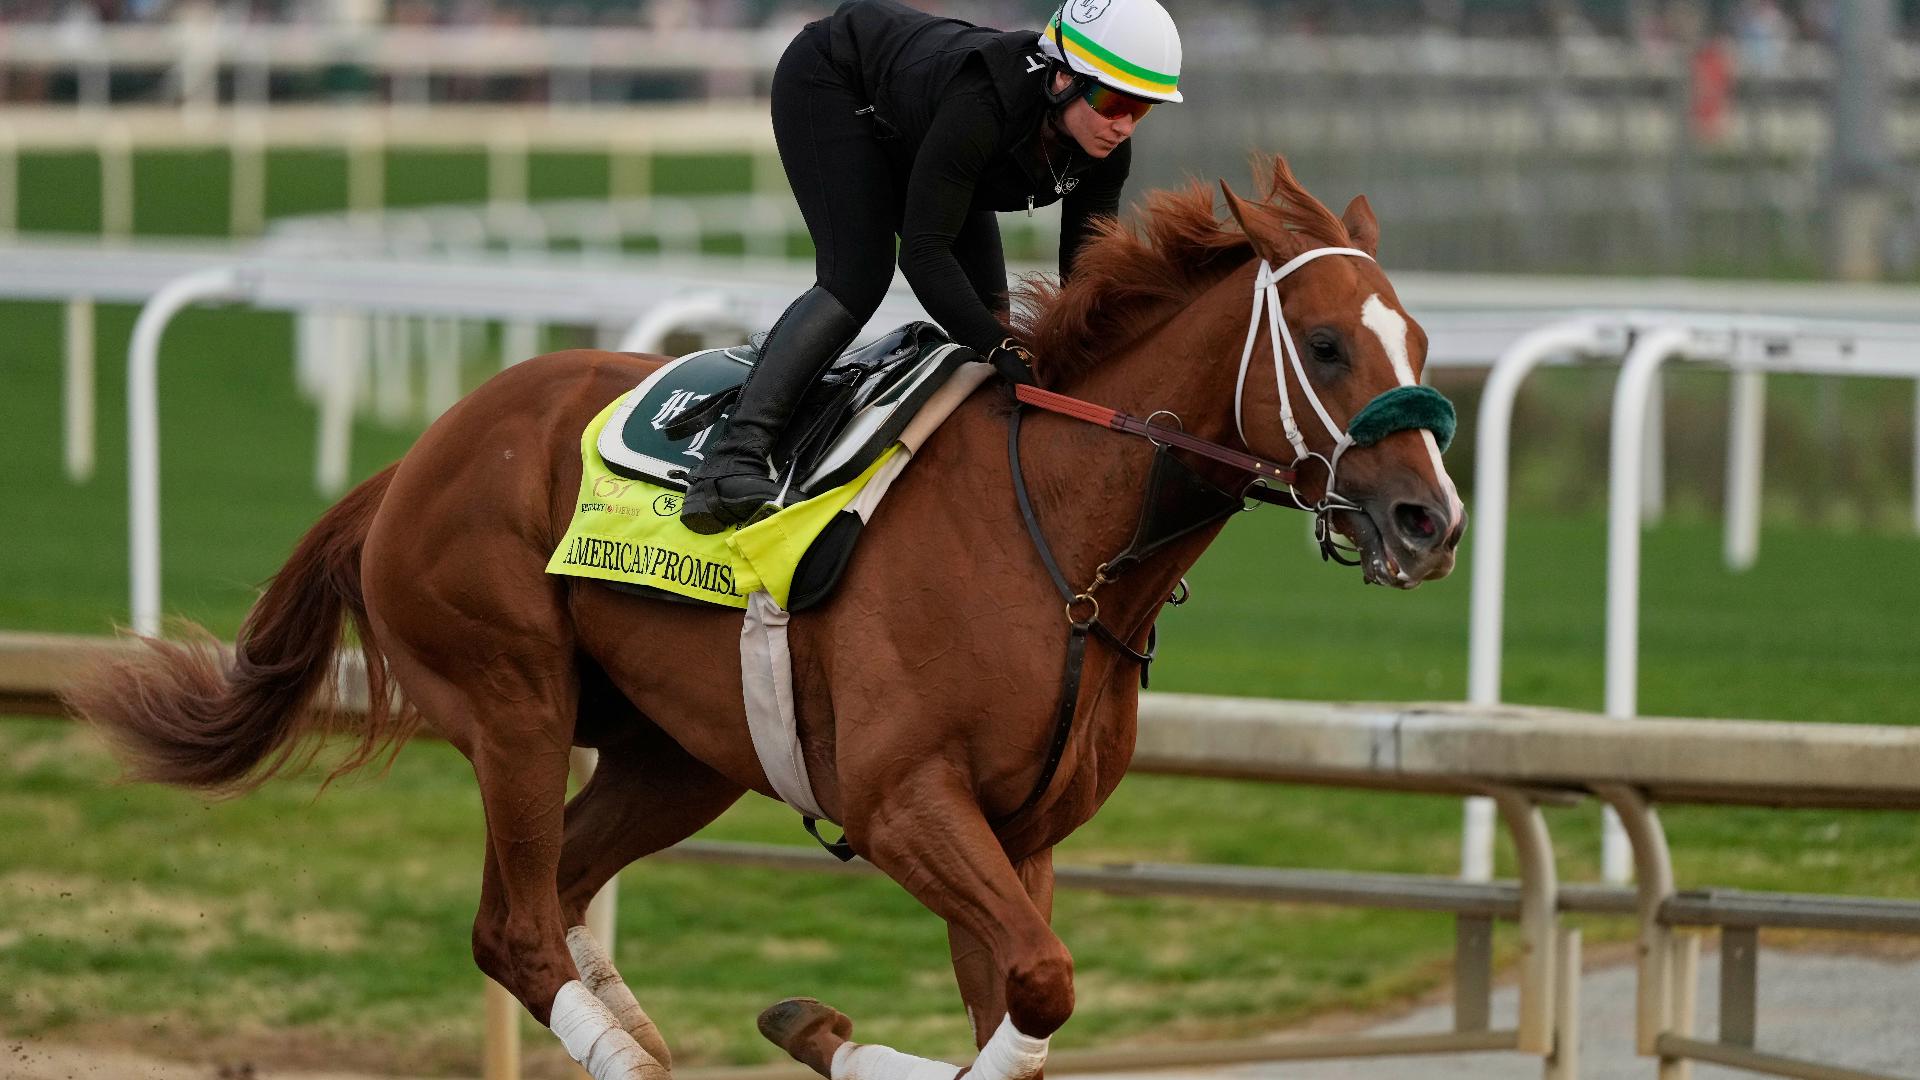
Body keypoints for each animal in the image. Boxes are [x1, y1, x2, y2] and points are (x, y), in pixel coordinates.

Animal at [69, 155, 1464, 1080]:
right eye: (1328, 345)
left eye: (1418, 336)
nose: (1430, 520)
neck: (1062, 542)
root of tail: (413, 460)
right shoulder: (904, 803)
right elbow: (1043, 981)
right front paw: (823, 1028)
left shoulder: (1021, 835)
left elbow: (1020, 1001)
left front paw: (823, 1027)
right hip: (514, 699)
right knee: (515, 927)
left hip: (676, 755)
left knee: (553, 901)